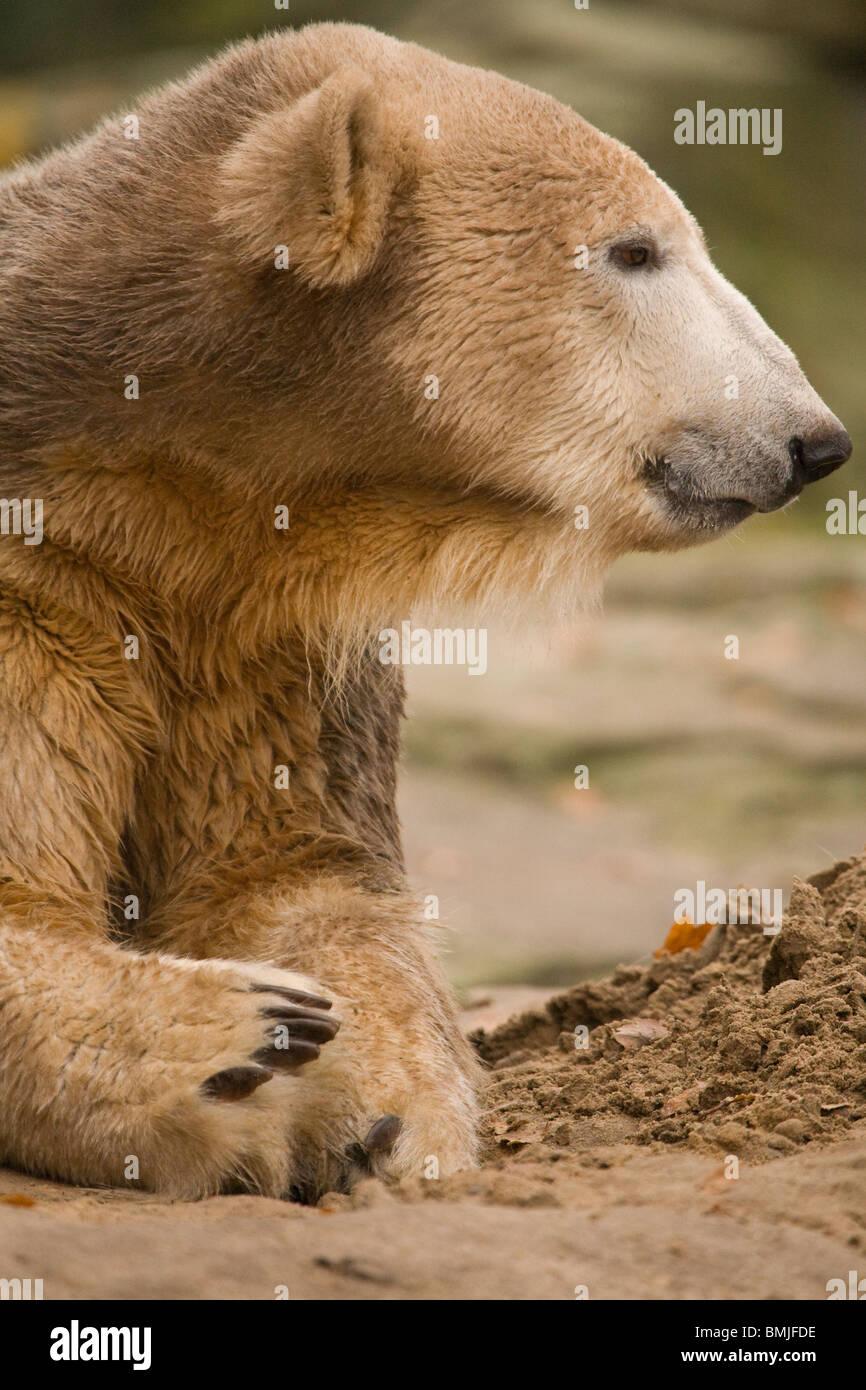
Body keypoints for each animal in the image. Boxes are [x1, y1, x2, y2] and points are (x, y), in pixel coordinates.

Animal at [0, 22, 850, 1200]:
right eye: (633, 251)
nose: (814, 439)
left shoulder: (269, 632)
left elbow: (302, 874)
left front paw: (378, 1106)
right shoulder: (43, 584)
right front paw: (240, 1043)